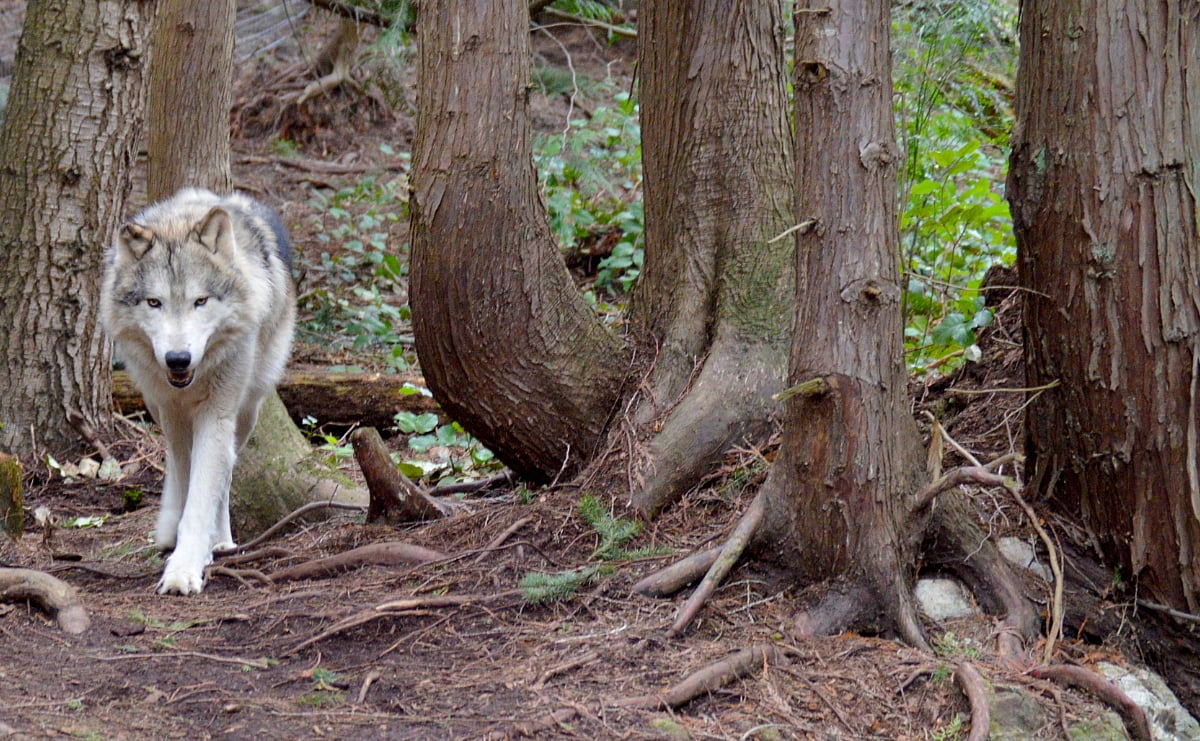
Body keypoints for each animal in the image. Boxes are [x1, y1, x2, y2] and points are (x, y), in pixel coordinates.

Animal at [100, 188, 296, 595]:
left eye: (200, 301)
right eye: (154, 302)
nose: (178, 359)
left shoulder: (216, 413)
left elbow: (204, 491)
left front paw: (185, 568)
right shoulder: (171, 410)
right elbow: (185, 475)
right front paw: (177, 542)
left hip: (246, 409)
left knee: (228, 466)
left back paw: (217, 539)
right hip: (156, 405)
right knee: (178, 465)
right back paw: (169, 528)